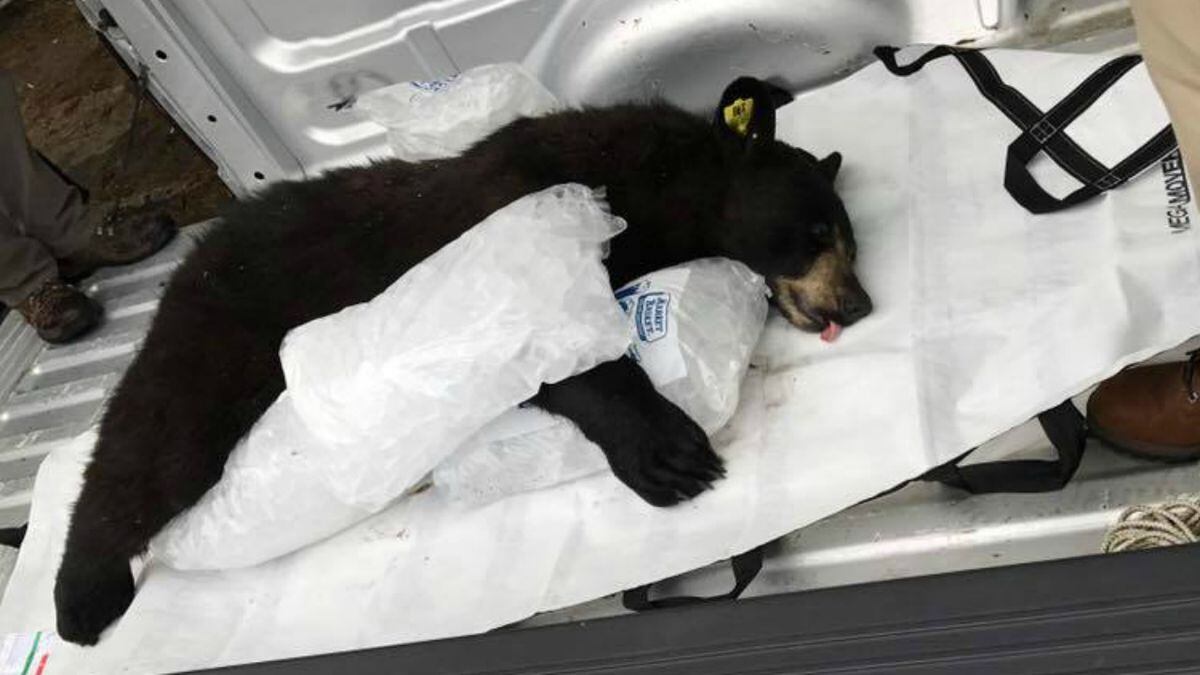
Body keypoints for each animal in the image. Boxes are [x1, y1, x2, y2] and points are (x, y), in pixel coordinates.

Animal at [53, 76, 873, 645]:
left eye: (849, 239)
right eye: (816, 231)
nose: (858, 302)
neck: (653, 186)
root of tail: (186, 268)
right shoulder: (511, 213)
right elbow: (551, 340)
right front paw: (670, 455)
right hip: (219, 340)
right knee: (151, 449)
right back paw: (82, 602)